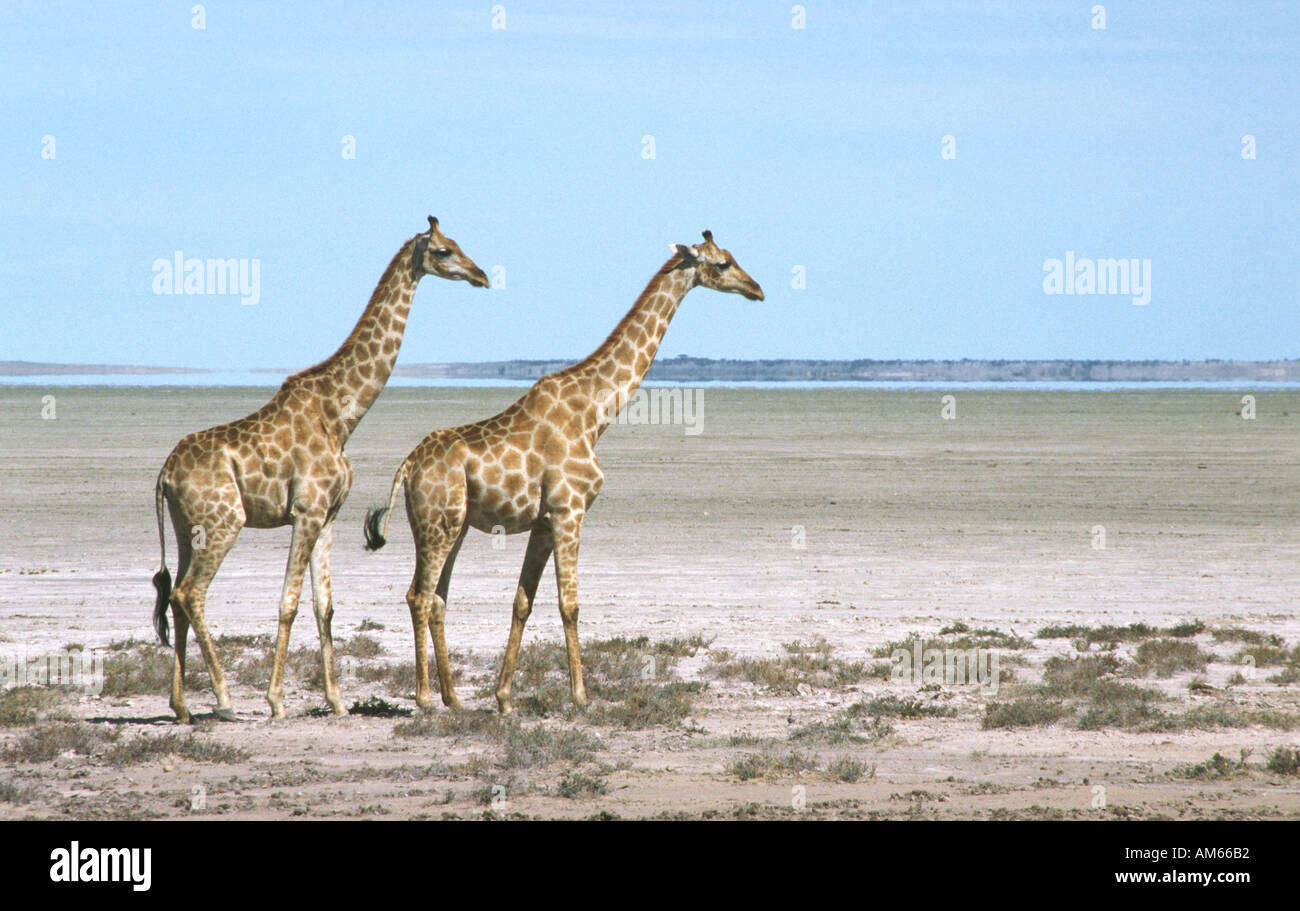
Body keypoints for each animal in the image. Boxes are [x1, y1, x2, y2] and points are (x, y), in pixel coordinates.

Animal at [150, 216, 488, 722]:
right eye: (445, 250)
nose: (481, 275)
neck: (341, 415)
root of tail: (165, 474)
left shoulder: (328, 515)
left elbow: (323, 606)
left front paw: (337, 701)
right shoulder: (306, 512)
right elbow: (288, 602)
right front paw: (276, 701)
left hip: (187, 525)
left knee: (174, 598)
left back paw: (183, 706)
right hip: (224, 521)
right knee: (191, 593)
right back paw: (225, 701)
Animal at [364, 231, 763, 713]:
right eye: (723, 263)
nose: (757, 289)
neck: (595, 412)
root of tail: (406, 466)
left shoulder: (543, 521)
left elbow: (522, 601)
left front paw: (504, 698)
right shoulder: (570, 511)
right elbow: (569, 603)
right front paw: (580, 696)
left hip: (452, 525)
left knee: (437, 597)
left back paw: (454, 698)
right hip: (436, 523)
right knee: (419, 596)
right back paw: (424, 698)